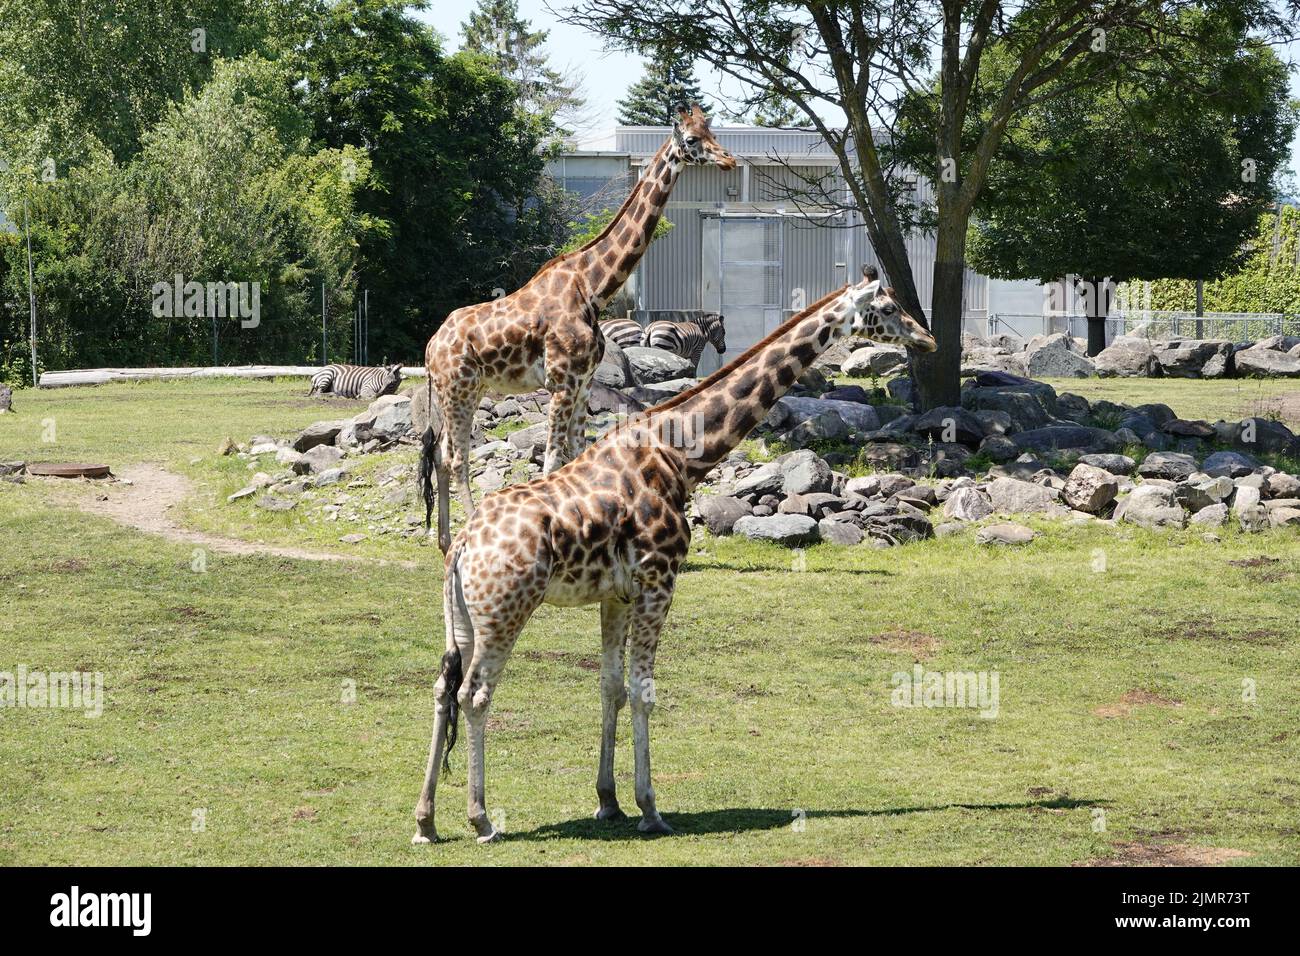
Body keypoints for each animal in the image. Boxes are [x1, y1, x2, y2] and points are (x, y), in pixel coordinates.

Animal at [411, 279, 936, 844]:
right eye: (887, 308)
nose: (927, 339)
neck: (682, 456)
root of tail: (462, 547)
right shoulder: (659, 581)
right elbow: (644, 692)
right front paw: (650, 809)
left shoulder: (617, 595)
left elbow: (610, 688)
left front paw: (608, 801)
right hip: (504, 612)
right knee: (475, 694)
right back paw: (482, 818)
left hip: (463, 617)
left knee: (443, 687)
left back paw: (426, 820)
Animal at [420, 105, 737, 553]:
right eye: (692, 140)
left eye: (712, 131)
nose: (729, 160)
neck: (593, 288)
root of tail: (431, 346)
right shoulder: (561, 383)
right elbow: (552, 459)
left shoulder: (583, 383)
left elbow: (575, 453)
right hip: (459, 388)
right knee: (456, 457)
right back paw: (466, 534)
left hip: (465, 390)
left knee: (440, 454)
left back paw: (445, 541)